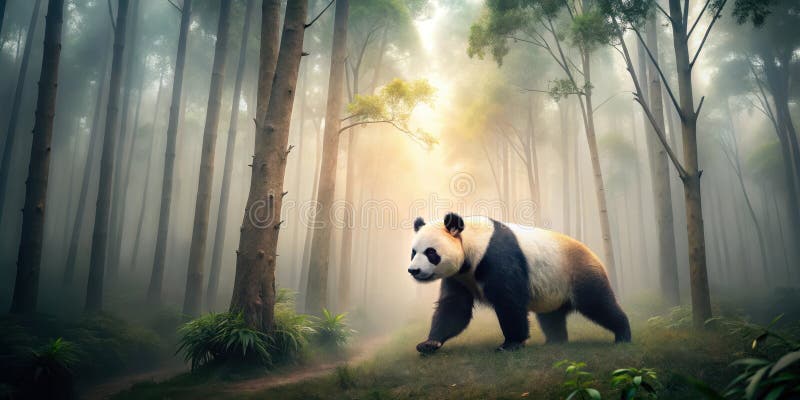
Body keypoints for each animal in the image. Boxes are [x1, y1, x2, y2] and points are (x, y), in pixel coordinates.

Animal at [409, 212, 631, 353]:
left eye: (431, 253)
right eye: (413, 252)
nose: (413, 271)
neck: (471, 241)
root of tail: (593, 254)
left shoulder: (496, 255)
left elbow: (509, 300)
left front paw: (511, 344)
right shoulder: (459, 277)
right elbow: (454, 308)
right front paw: (429, 343)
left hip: (576, 271)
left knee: (598, 304)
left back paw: (623, 335)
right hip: (552, 289)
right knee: (552, 317)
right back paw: (555, 341)